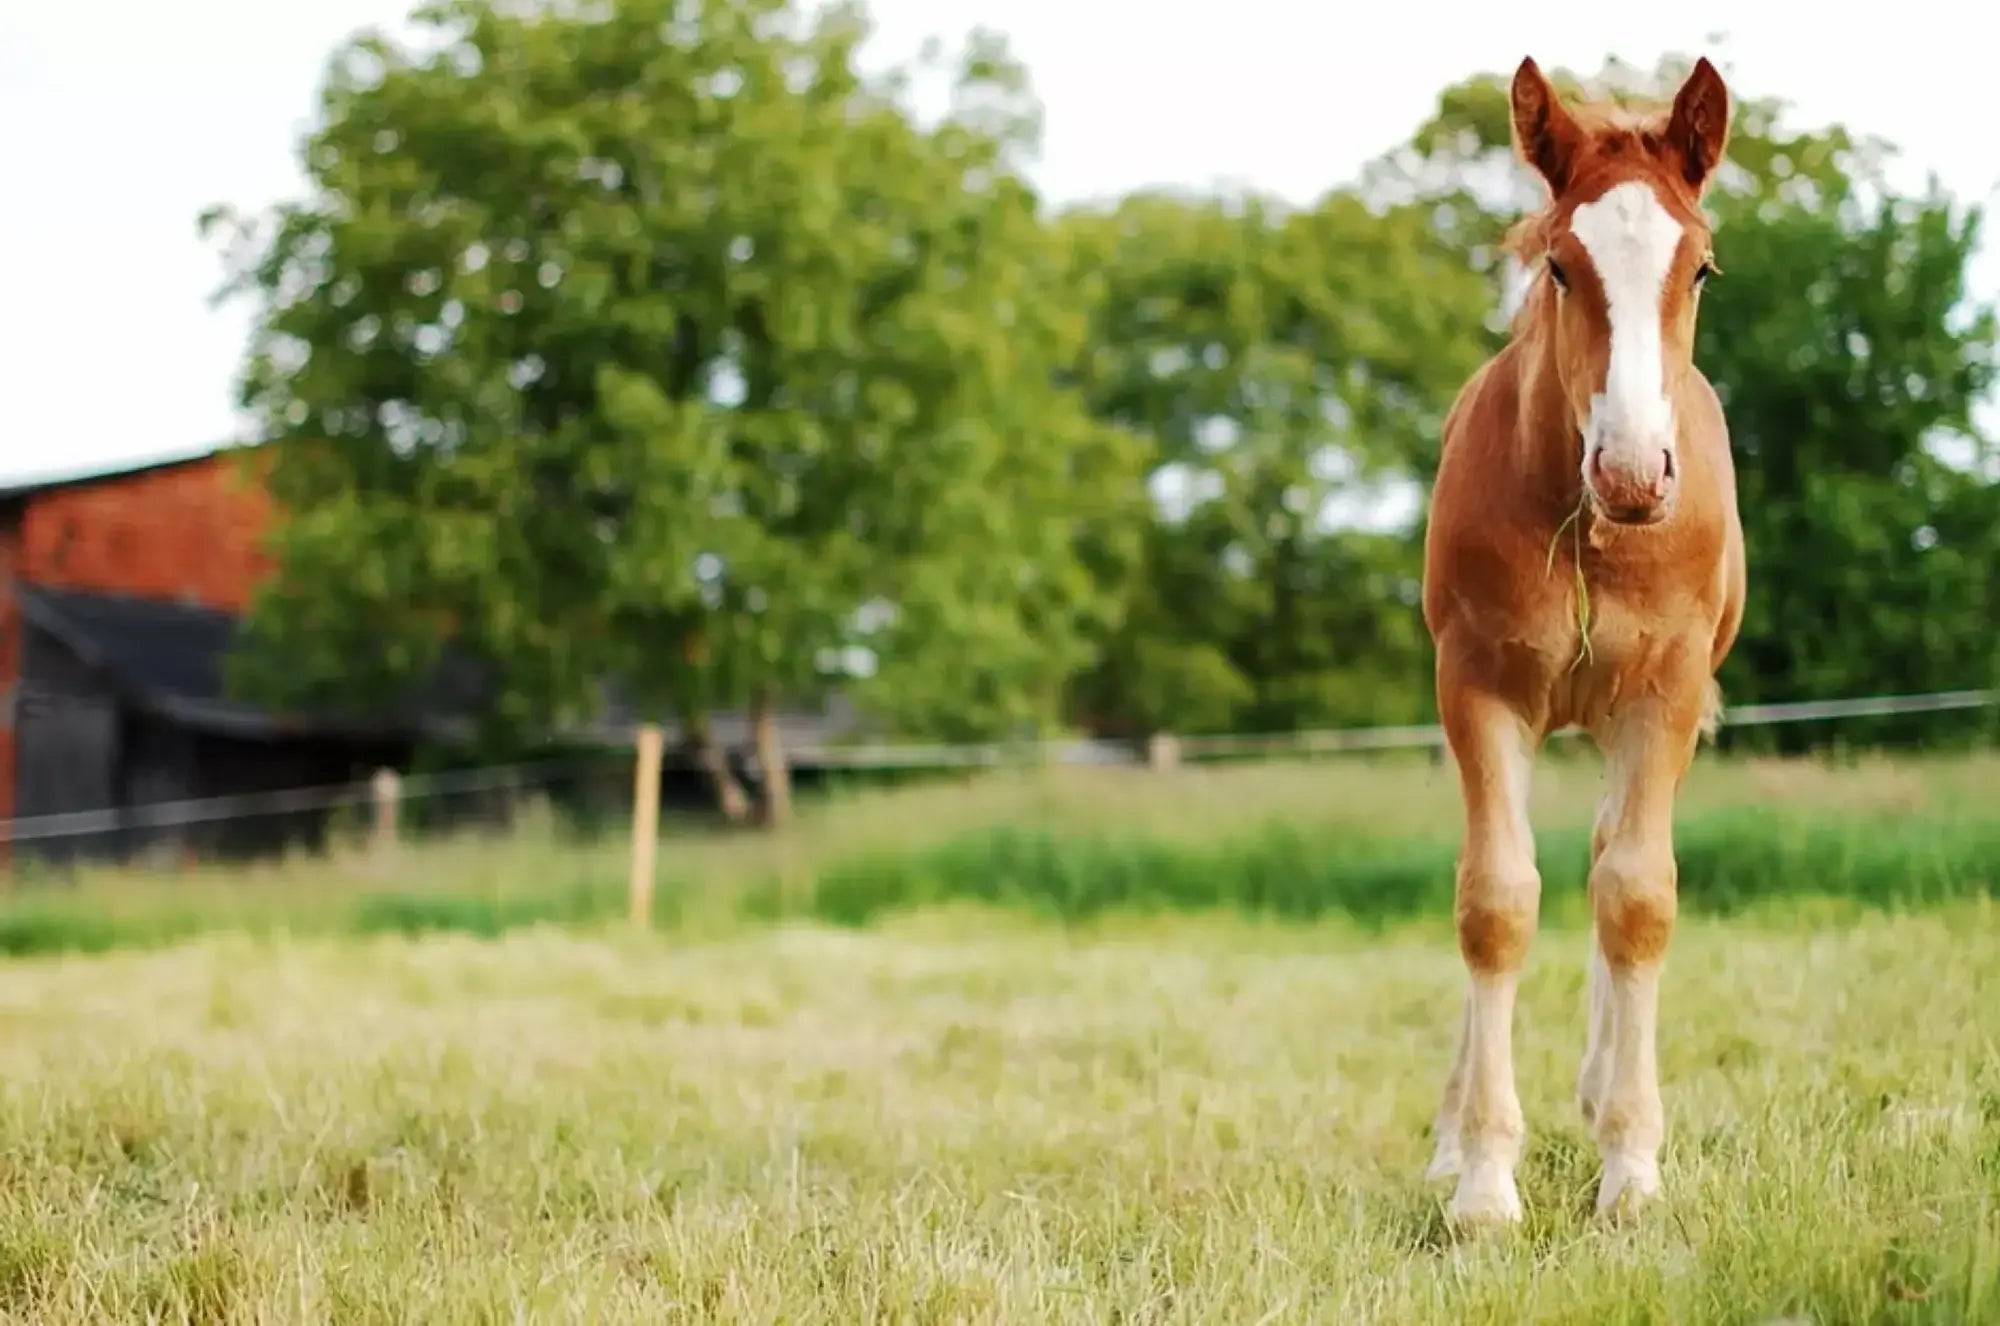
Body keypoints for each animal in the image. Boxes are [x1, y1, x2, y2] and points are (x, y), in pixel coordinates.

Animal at [1419, 55, 1745, 1226]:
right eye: (1559, 266)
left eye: (1701, 269)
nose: (1634, 472)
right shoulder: (1476, 690)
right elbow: (1493, 901)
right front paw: (1479, 1181)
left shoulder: (1663, 695)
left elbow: (1637, 898)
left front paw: (1631, 1171)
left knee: (1614, 860)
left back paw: (1605, 1089)